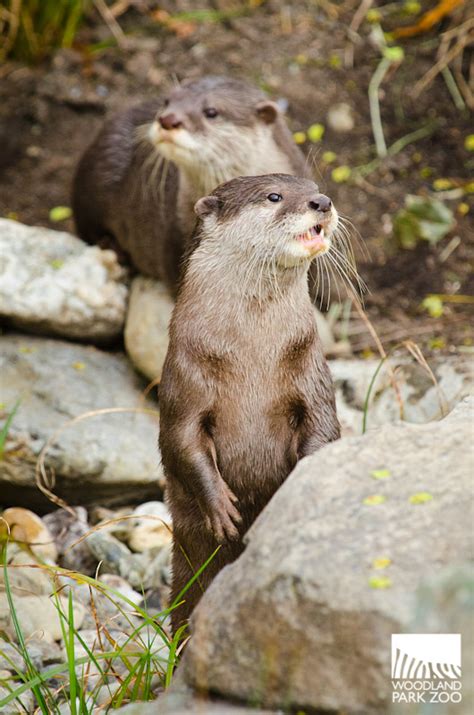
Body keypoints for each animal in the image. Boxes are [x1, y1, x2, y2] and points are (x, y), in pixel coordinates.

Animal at [159, 174, 341, 634]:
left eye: (314, 185)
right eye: (275, 196)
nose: (322, 201)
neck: (252, 352)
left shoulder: (309, 366)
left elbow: (324, 427)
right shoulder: (184, 374)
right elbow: (181, 439)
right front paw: (221, 507)